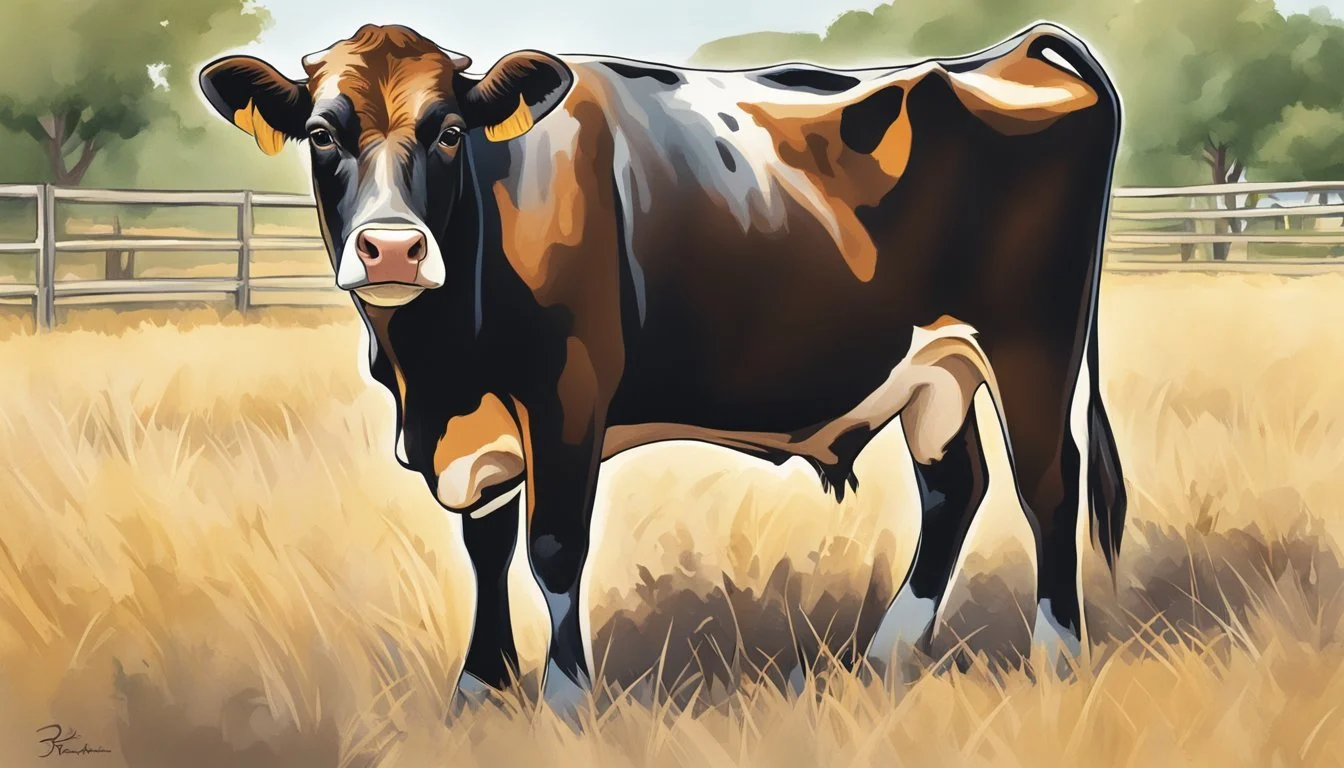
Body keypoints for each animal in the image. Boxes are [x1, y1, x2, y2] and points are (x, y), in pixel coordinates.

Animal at [198, 20, 1126, 709]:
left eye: (451, 131)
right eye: (323, 134)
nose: (391, 247)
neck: (436, 366)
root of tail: (1013, 51)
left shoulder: (566, 395)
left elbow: (553, 548)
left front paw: (567, 698)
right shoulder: (480, 424)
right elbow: (485, 545)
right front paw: (480, 687)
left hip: (1031, 345)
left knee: (1048, 483)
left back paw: (1057, 659)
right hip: (935, 368)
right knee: (953, 486)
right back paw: (887, 654)